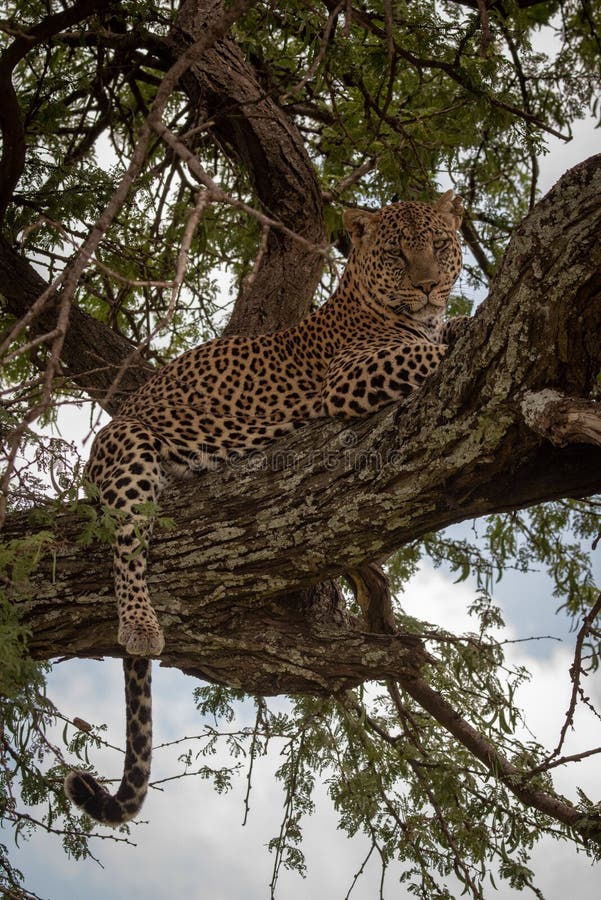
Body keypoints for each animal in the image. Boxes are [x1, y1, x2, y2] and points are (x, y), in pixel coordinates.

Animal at [64, 190, 465, 825]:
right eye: (398, 254)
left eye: (441, 245)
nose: (428, 286)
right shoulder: (350, 377)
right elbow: (424, 354)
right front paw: (452, 331)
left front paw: (454, 320)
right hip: (128, 450)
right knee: (127, 543)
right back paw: (140, 624)